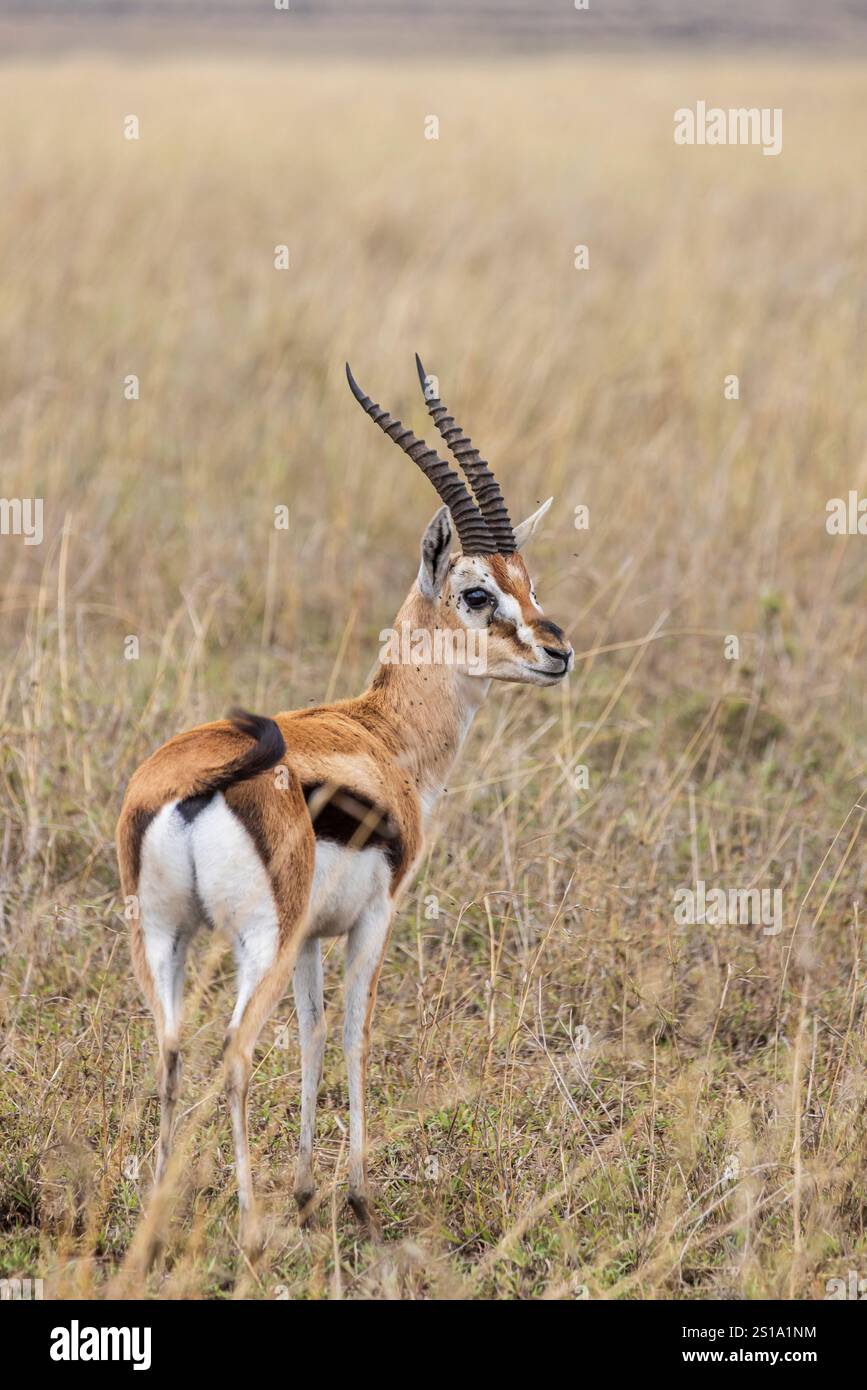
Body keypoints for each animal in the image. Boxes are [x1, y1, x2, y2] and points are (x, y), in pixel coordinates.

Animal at [116, 357, 574, 1250]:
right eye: (477, 594)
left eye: (525, 582)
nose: (556, 650)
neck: (381, 736)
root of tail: (197, 783)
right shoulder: (371, 917)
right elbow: (356, 1032)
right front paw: (355, 1200)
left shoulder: (310, 940)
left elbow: (313, 1030)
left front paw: (304, 1190)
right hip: (254, 940)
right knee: (234, 1050)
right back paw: (251, 1231)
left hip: (164, 935)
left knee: (171, 1046)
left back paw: (161, 1213)